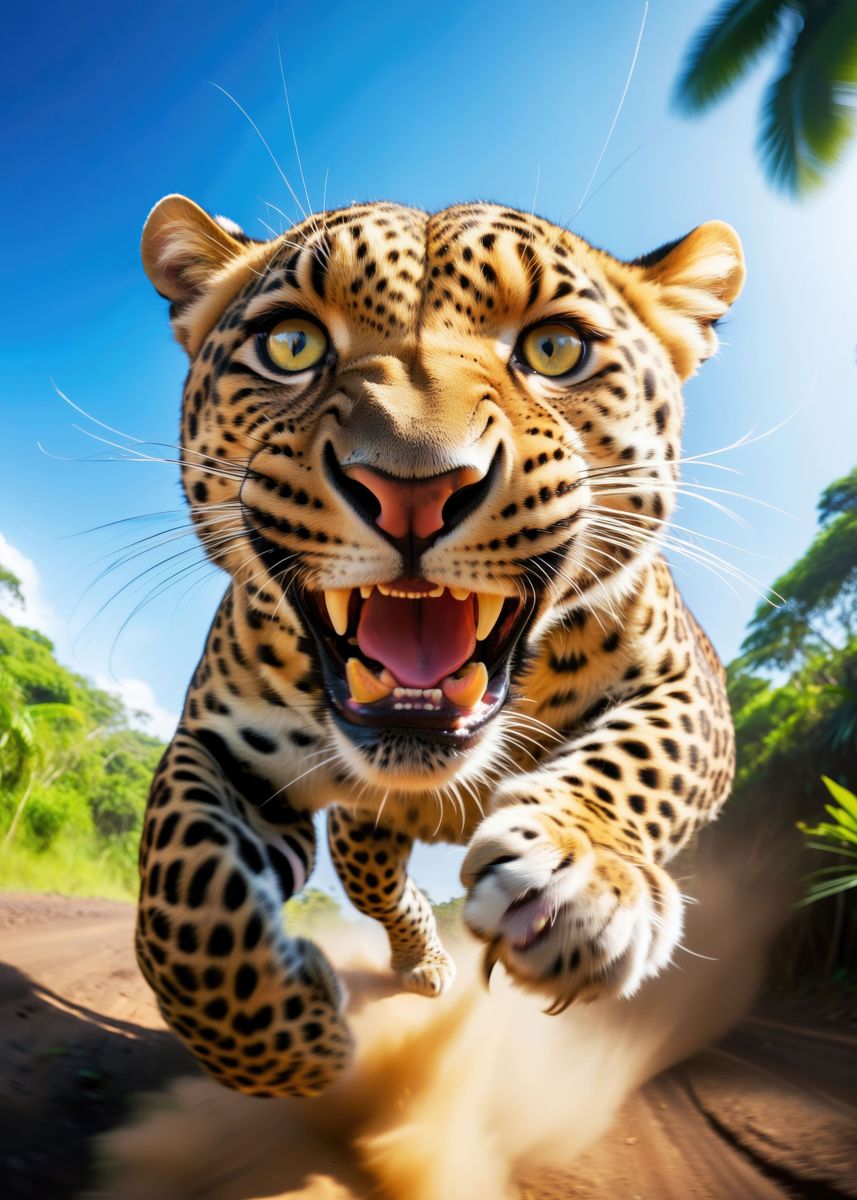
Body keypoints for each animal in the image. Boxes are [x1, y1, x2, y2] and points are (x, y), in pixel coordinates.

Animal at [134, 193, 744, 1097]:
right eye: (290, 344)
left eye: (554, 349)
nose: (411, 486)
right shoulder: (220, 745)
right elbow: (183, 892)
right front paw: (300, 1045)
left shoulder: (687, 688)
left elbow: (636, 760)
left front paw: (577, 879)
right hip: (361, 831)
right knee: (377, 882)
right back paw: (419, 964)